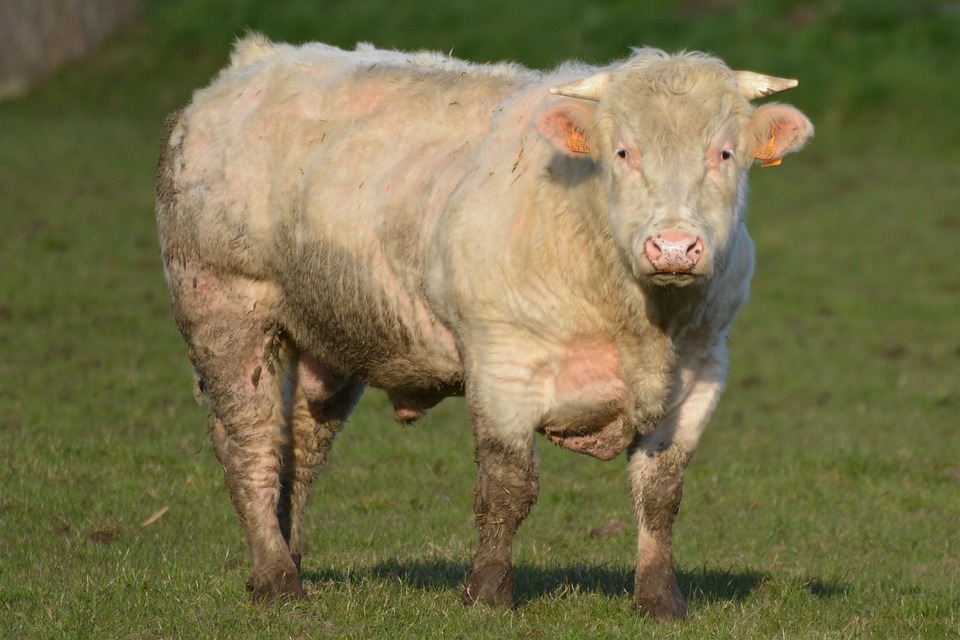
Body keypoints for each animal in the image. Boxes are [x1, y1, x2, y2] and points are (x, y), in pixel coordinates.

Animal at [156, 33, 812, 619]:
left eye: (724, 153)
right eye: (624, 152)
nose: (674, 247)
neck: (639, 320)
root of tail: (254, 62)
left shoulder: (702, 368)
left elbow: (660, 493)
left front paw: (660, 599)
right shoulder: (502, 363)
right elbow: (507, 488)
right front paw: (488, 593)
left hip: (327, 336)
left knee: (301, 445)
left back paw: (288, 560)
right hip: (225, 310)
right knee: (251, 444)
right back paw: (275, 578)